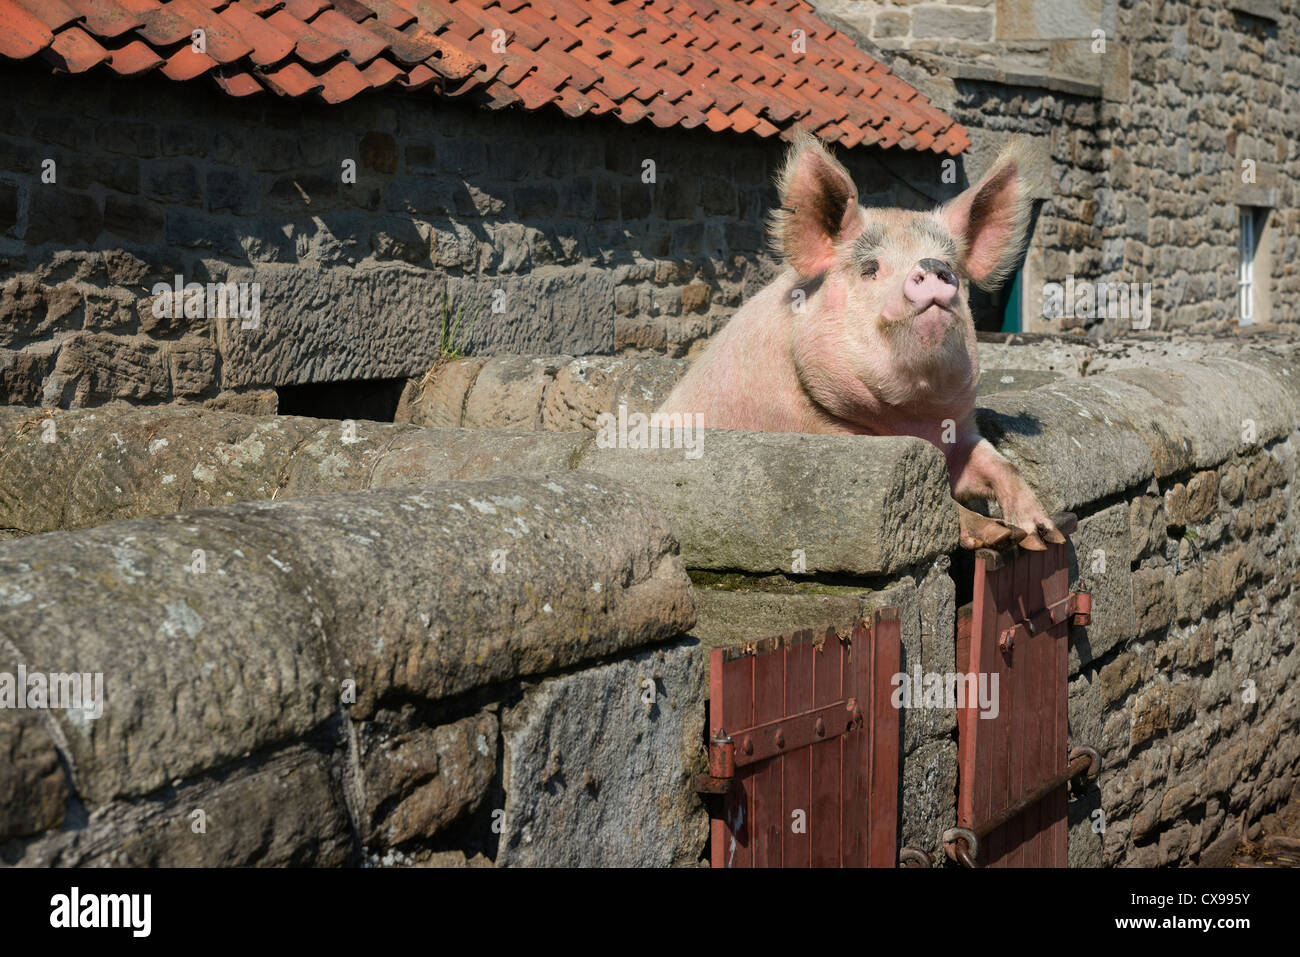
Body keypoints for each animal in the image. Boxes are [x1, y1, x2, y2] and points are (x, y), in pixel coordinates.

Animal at [657, 132, 1063, 551]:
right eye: (871, 269)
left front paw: (1043, 536)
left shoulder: (961, 432)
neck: (909, 419)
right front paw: (999, 535)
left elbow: (1001, 464)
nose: (933, 266)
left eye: (950, 265)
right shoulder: (816, 429)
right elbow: (943, 502)